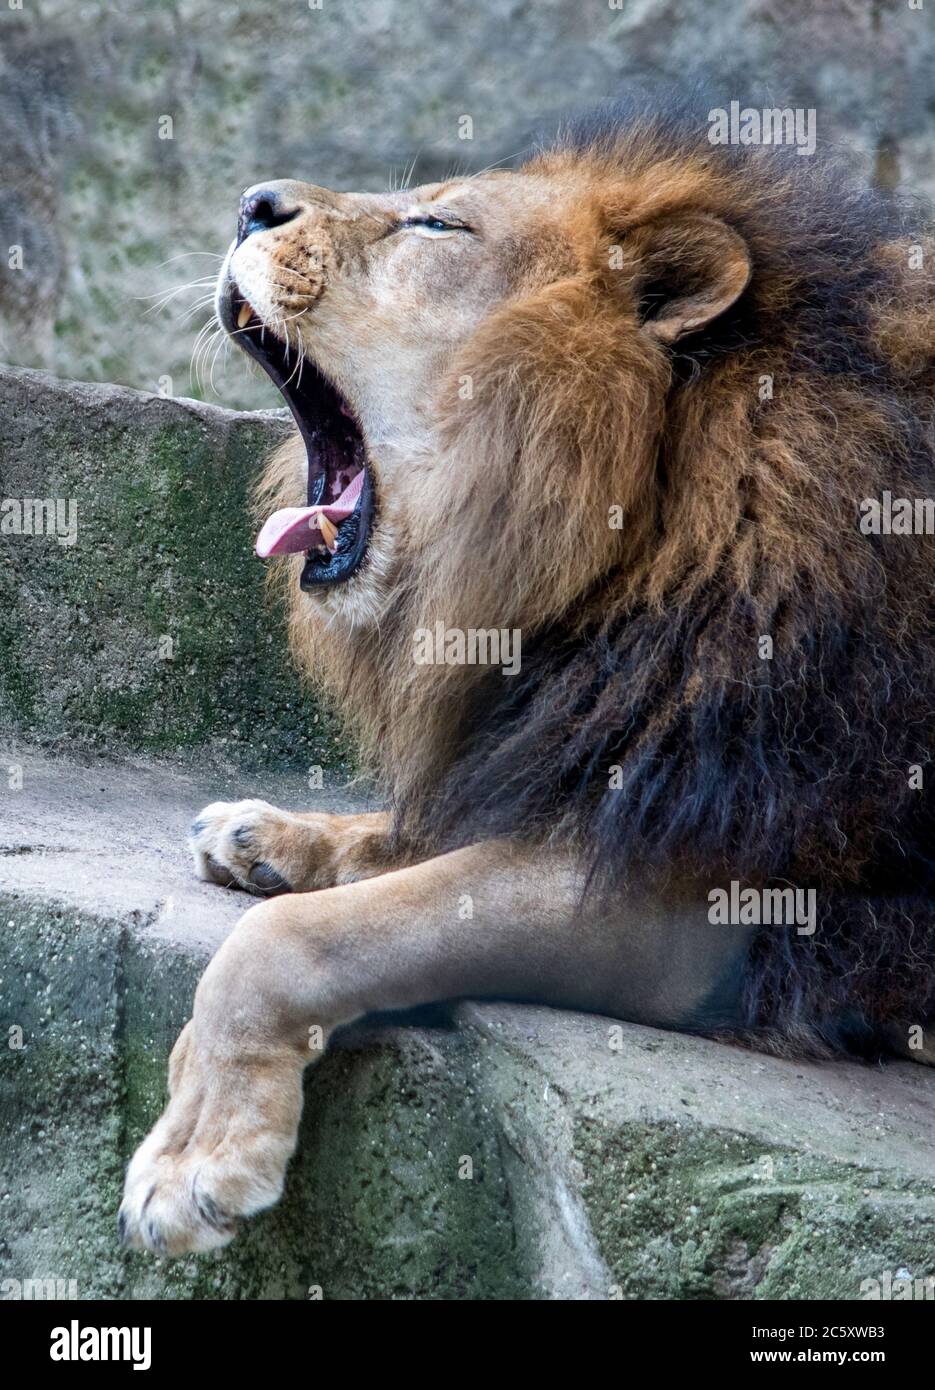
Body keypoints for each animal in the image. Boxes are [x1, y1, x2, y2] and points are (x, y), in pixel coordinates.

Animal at [119, 98, 935, 1257]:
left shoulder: (699, 888)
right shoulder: (561, 748)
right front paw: (271, 832)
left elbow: (293, 940)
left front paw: (195, 1157)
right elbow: (416, 830)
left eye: (438, 225)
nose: (250, 202)